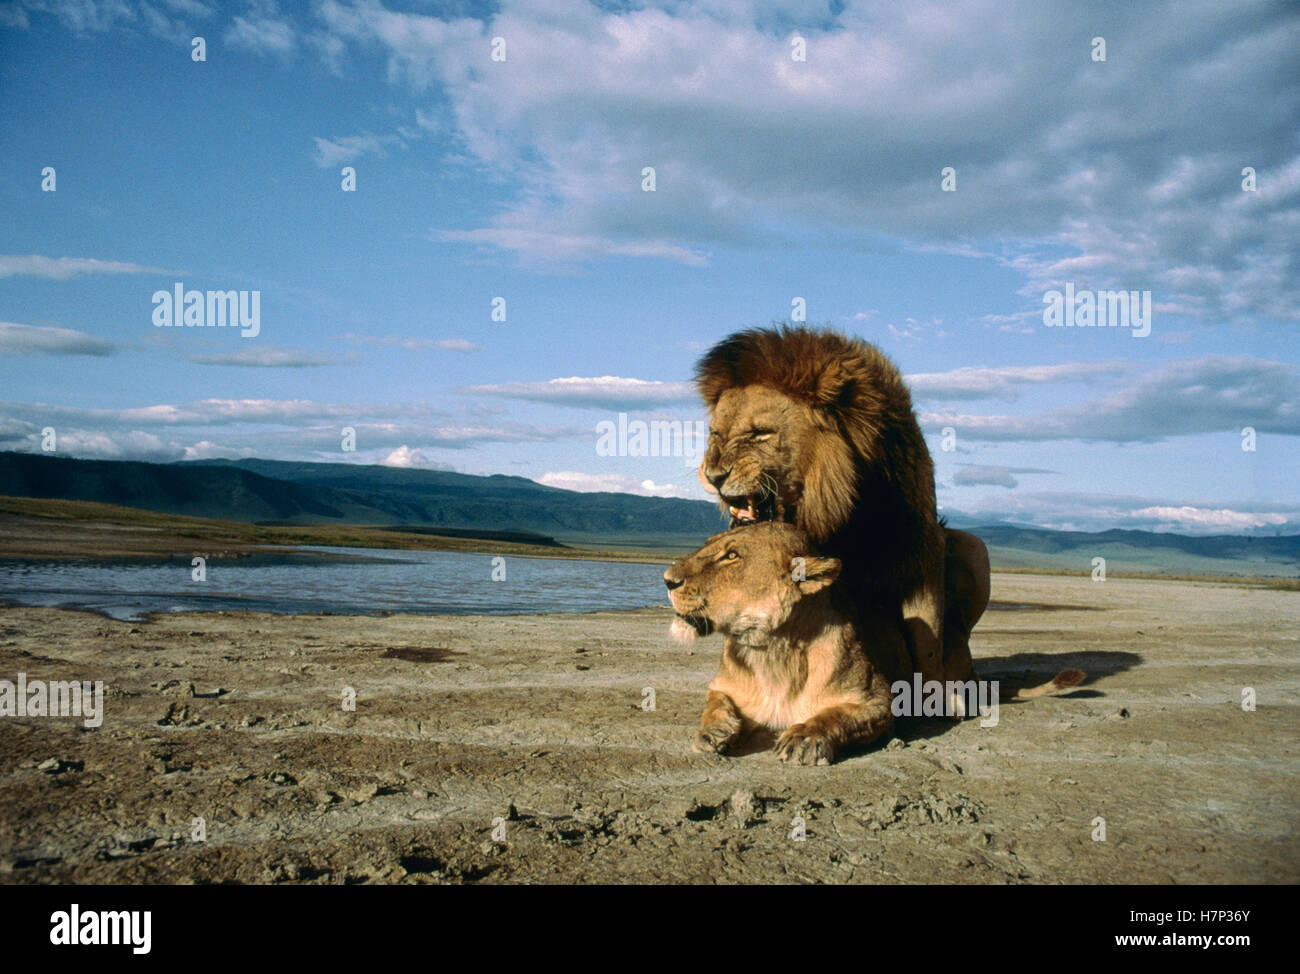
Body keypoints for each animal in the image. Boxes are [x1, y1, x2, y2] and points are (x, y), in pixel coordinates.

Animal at [665, 522, 1084, 764]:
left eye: (732, 556)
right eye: (710, 546)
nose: (667, 579)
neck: (772, 650)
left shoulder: (878, 702)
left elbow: (832, 717)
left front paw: (803, 738)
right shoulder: (724, 686)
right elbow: (715, 704)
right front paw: (713, 733)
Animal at [695, 324, 988, 692]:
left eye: (761, 433)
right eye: (715, 434)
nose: (714, 476)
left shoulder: (923, 552)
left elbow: (929, 645)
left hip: (974, 545)